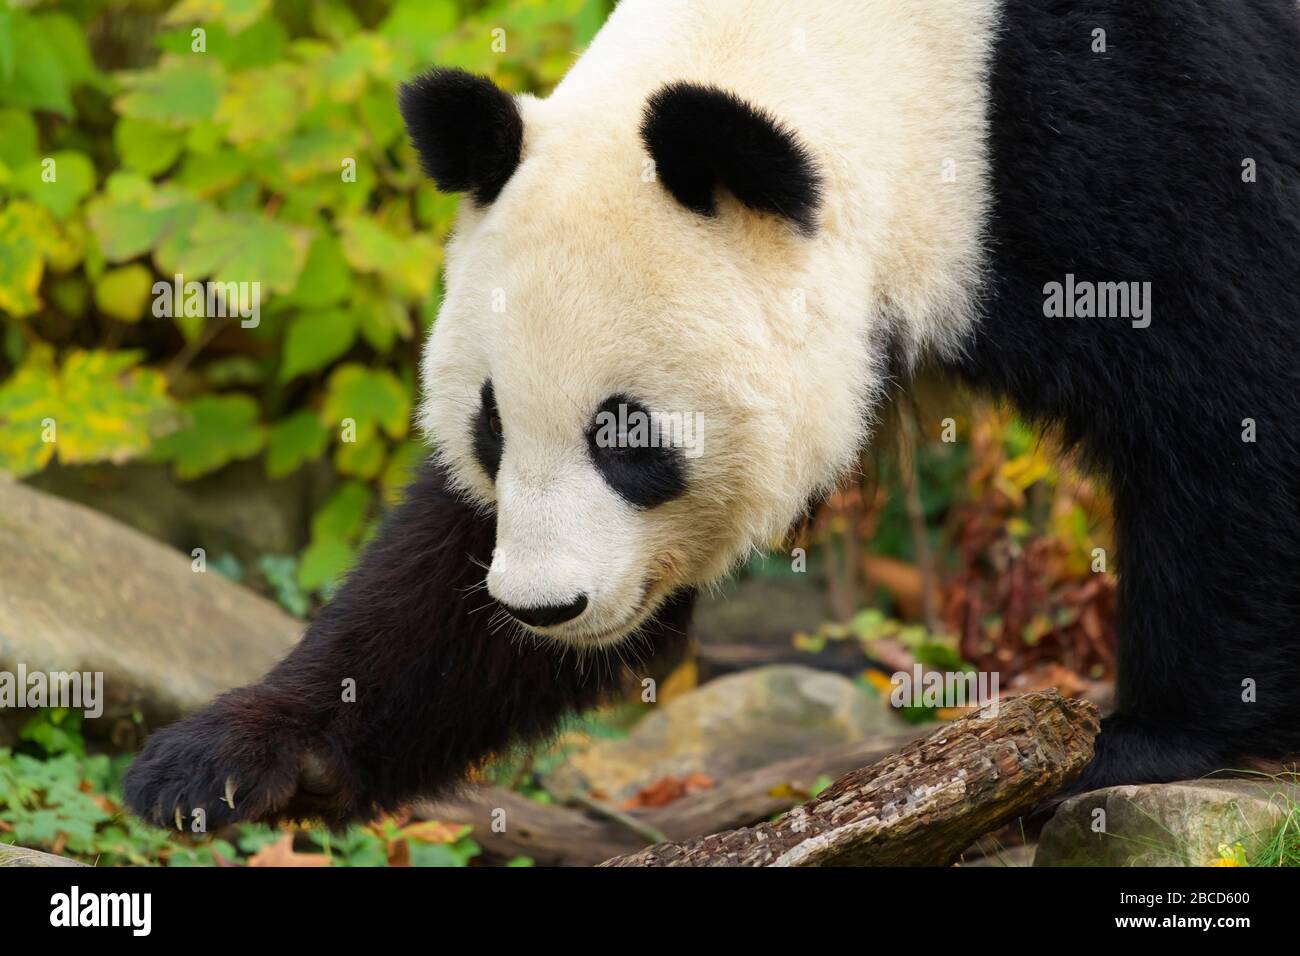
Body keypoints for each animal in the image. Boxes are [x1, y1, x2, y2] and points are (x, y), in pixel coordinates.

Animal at [125, 0, 1300, 830]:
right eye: (491, 429)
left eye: (626, 435)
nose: (544, 606)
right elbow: (441, 567)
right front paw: (240, 756)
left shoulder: (1132, 115)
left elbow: (1237, 401)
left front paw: (1142, 740)